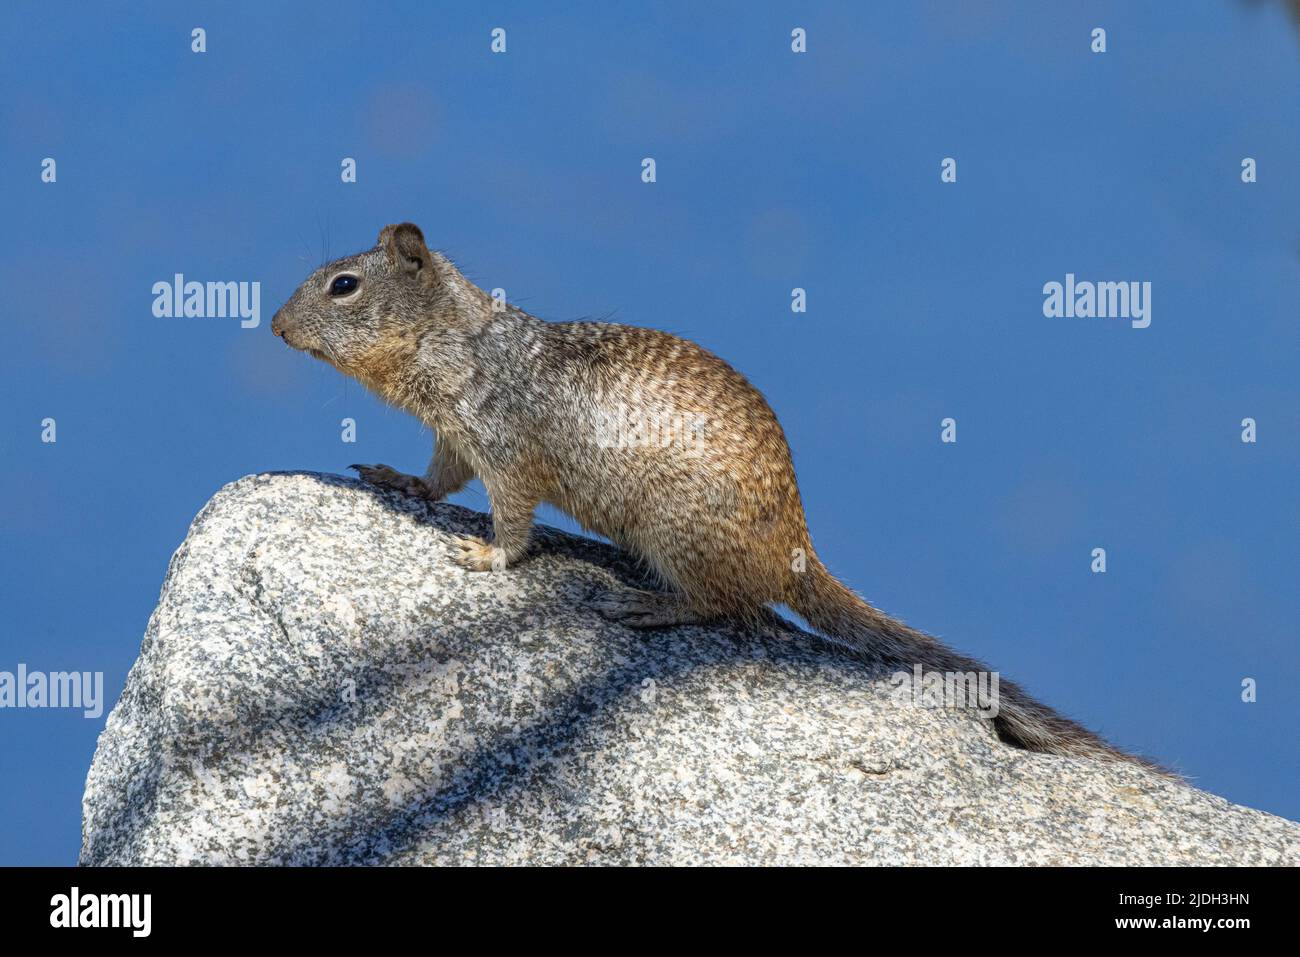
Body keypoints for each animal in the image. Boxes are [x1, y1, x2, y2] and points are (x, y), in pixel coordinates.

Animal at [272, 222, 1164, 773]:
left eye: (343, 285)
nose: (275, 327)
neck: (456, 339)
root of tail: (796, 550)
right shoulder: (456, 437)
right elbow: (438, 477)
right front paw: (397, 481)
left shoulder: (507, 446)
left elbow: (516, 519)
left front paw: (486, 553)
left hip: (679, 531)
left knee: (728, 606)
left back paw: (651, 604)